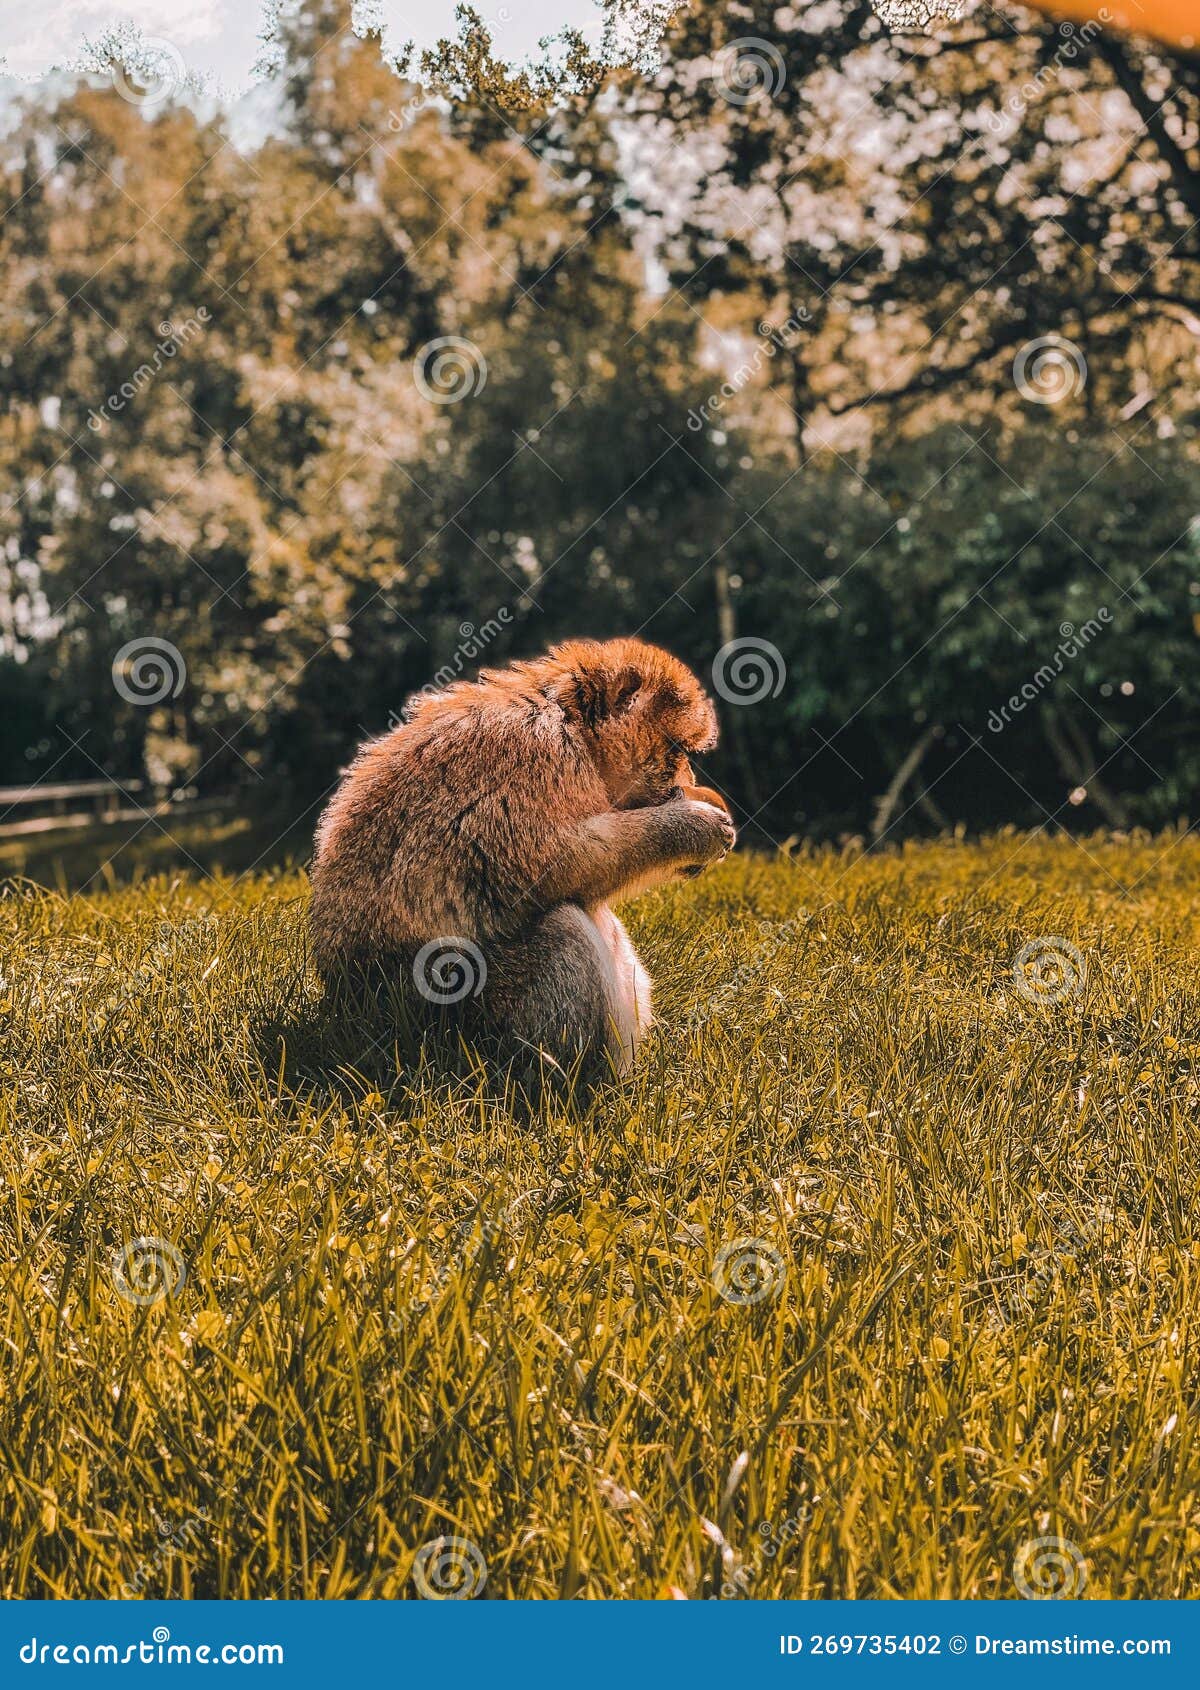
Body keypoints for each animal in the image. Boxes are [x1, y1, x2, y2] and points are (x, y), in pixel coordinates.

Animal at [309, 637, 735, 1079]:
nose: (686, 782)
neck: (572, 724)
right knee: (564, 927)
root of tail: (352, 1014)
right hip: (448, 1025)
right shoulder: (534, 753)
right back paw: (577, 1083)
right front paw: (690, 829)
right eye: (675, 749)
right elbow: (553, 862)